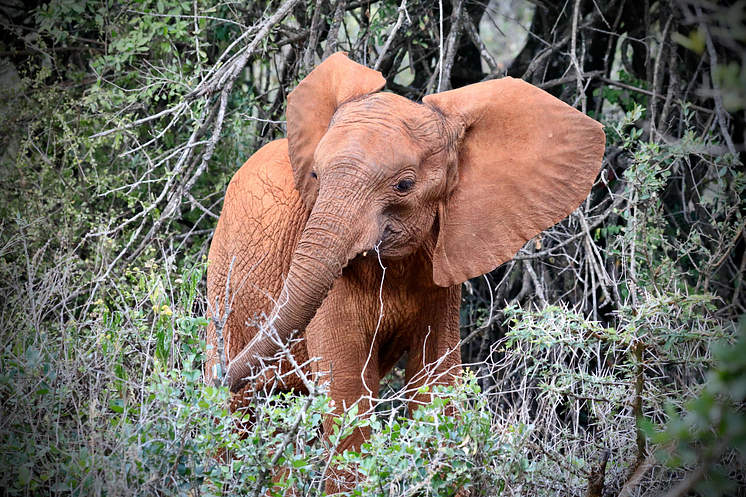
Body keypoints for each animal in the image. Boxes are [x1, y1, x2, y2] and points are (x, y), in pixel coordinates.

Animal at [205, 52, 604, 488]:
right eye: (314, 176)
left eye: (404, 185)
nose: (222, 373)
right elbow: (347, 392)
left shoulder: (440, 272)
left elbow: (436, 385)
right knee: (234, 415)